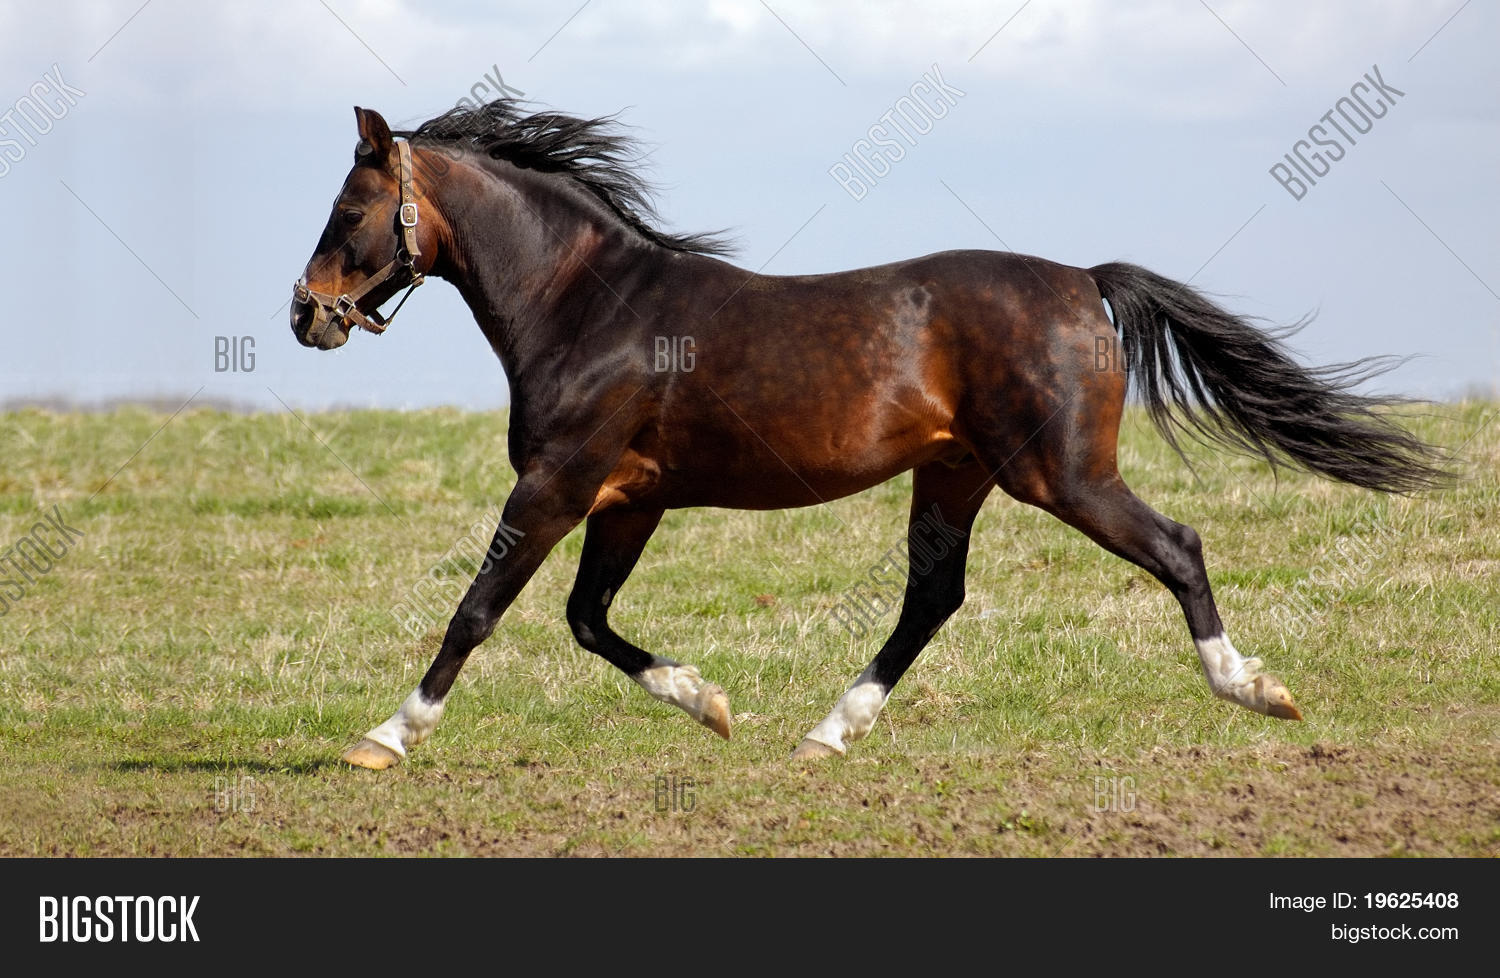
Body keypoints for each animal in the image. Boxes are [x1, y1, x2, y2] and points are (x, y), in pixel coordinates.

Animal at [290, 101, 1449, 769]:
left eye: (348, 210)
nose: (305, 315)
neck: (589, 305)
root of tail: (1085, 282)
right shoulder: (630, 498)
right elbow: (586, 620)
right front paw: (711, 704)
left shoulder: (559, 483)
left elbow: (478, 610)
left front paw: (385, 737)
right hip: (959, 475)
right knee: (934, 597)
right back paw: (828, 730)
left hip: (1061, 474)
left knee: (1177, 547)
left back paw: (1254, 689)